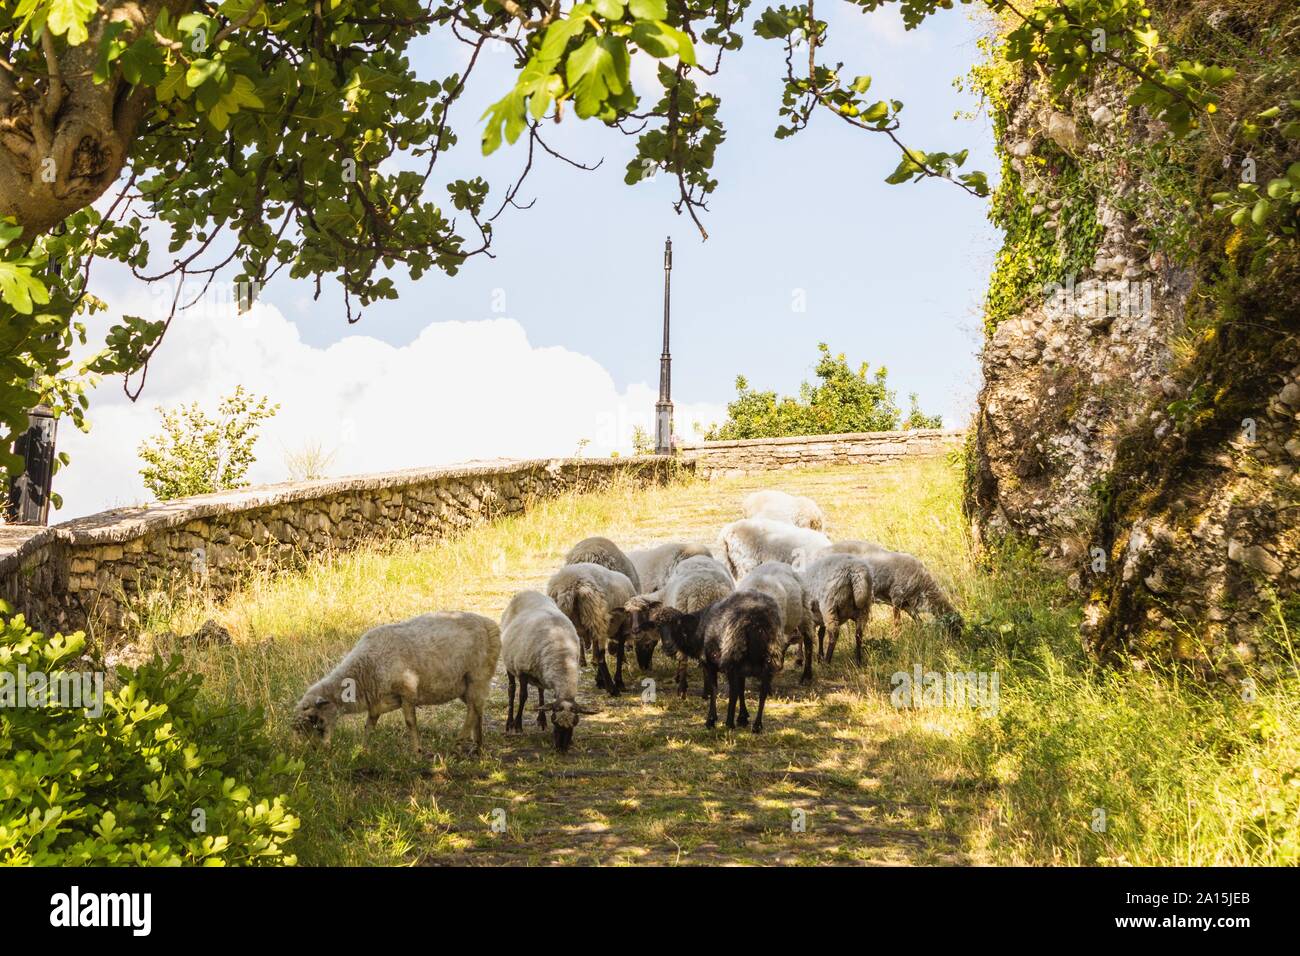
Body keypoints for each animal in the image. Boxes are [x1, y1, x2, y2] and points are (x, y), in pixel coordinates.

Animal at [293, 611, 500, 753]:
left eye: (314, 719)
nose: (315, 752)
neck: (364, 671)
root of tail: (490, 625)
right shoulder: (381, 699)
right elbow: (370, 723)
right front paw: (363, 750)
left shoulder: (407, 690)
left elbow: (410, 722)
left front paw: (416, 752)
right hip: (465, 686)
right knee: (478, 708)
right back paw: (478, 746)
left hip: (477, 676)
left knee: (473, 710)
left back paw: (459, 742)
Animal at [499, 590, 598, 752]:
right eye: (555, 722)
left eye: (574, 723)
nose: (561, 748)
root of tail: (528, 591)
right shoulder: (523, 671)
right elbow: (523, 696)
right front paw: (518, 726)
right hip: (510, 663)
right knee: (512, 690)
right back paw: (509, 723)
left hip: (539, 673)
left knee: (540, 691)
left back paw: (541, 720)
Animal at [546, 562, 637, 696]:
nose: (631, 646)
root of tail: (568, 587)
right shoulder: (621, 628)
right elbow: (619, 654)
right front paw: (619, 682)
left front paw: (599, 680)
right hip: (595, 615)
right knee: (600, 657)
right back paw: (612, 689)